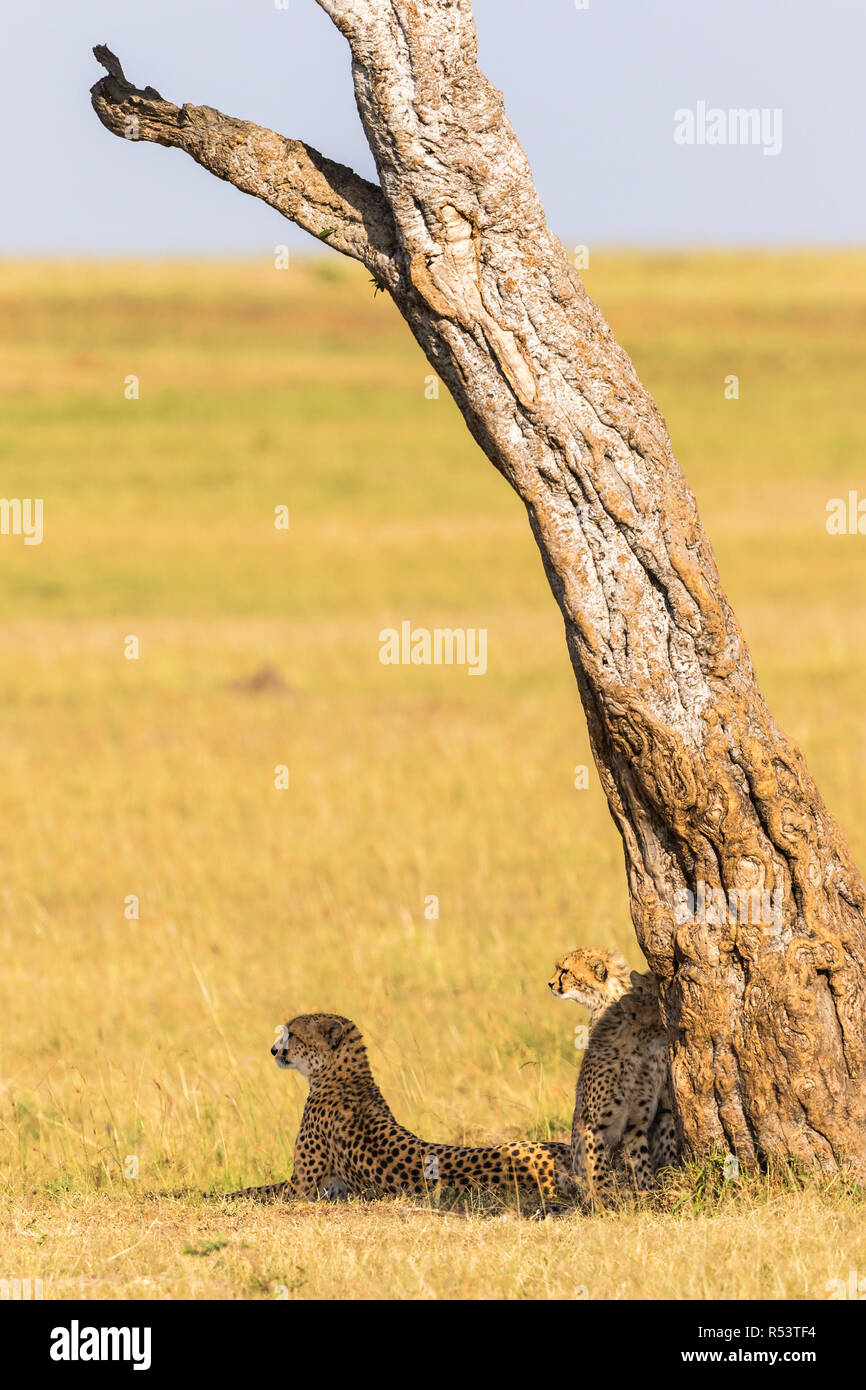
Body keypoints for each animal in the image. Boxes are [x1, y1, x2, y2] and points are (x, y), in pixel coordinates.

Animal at [218, 1013, 579, 1208]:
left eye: (292, 1034)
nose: (273, 1050)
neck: (341, 1076)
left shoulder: (301, 1188)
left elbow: (252, 1191)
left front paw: (213, 1196)